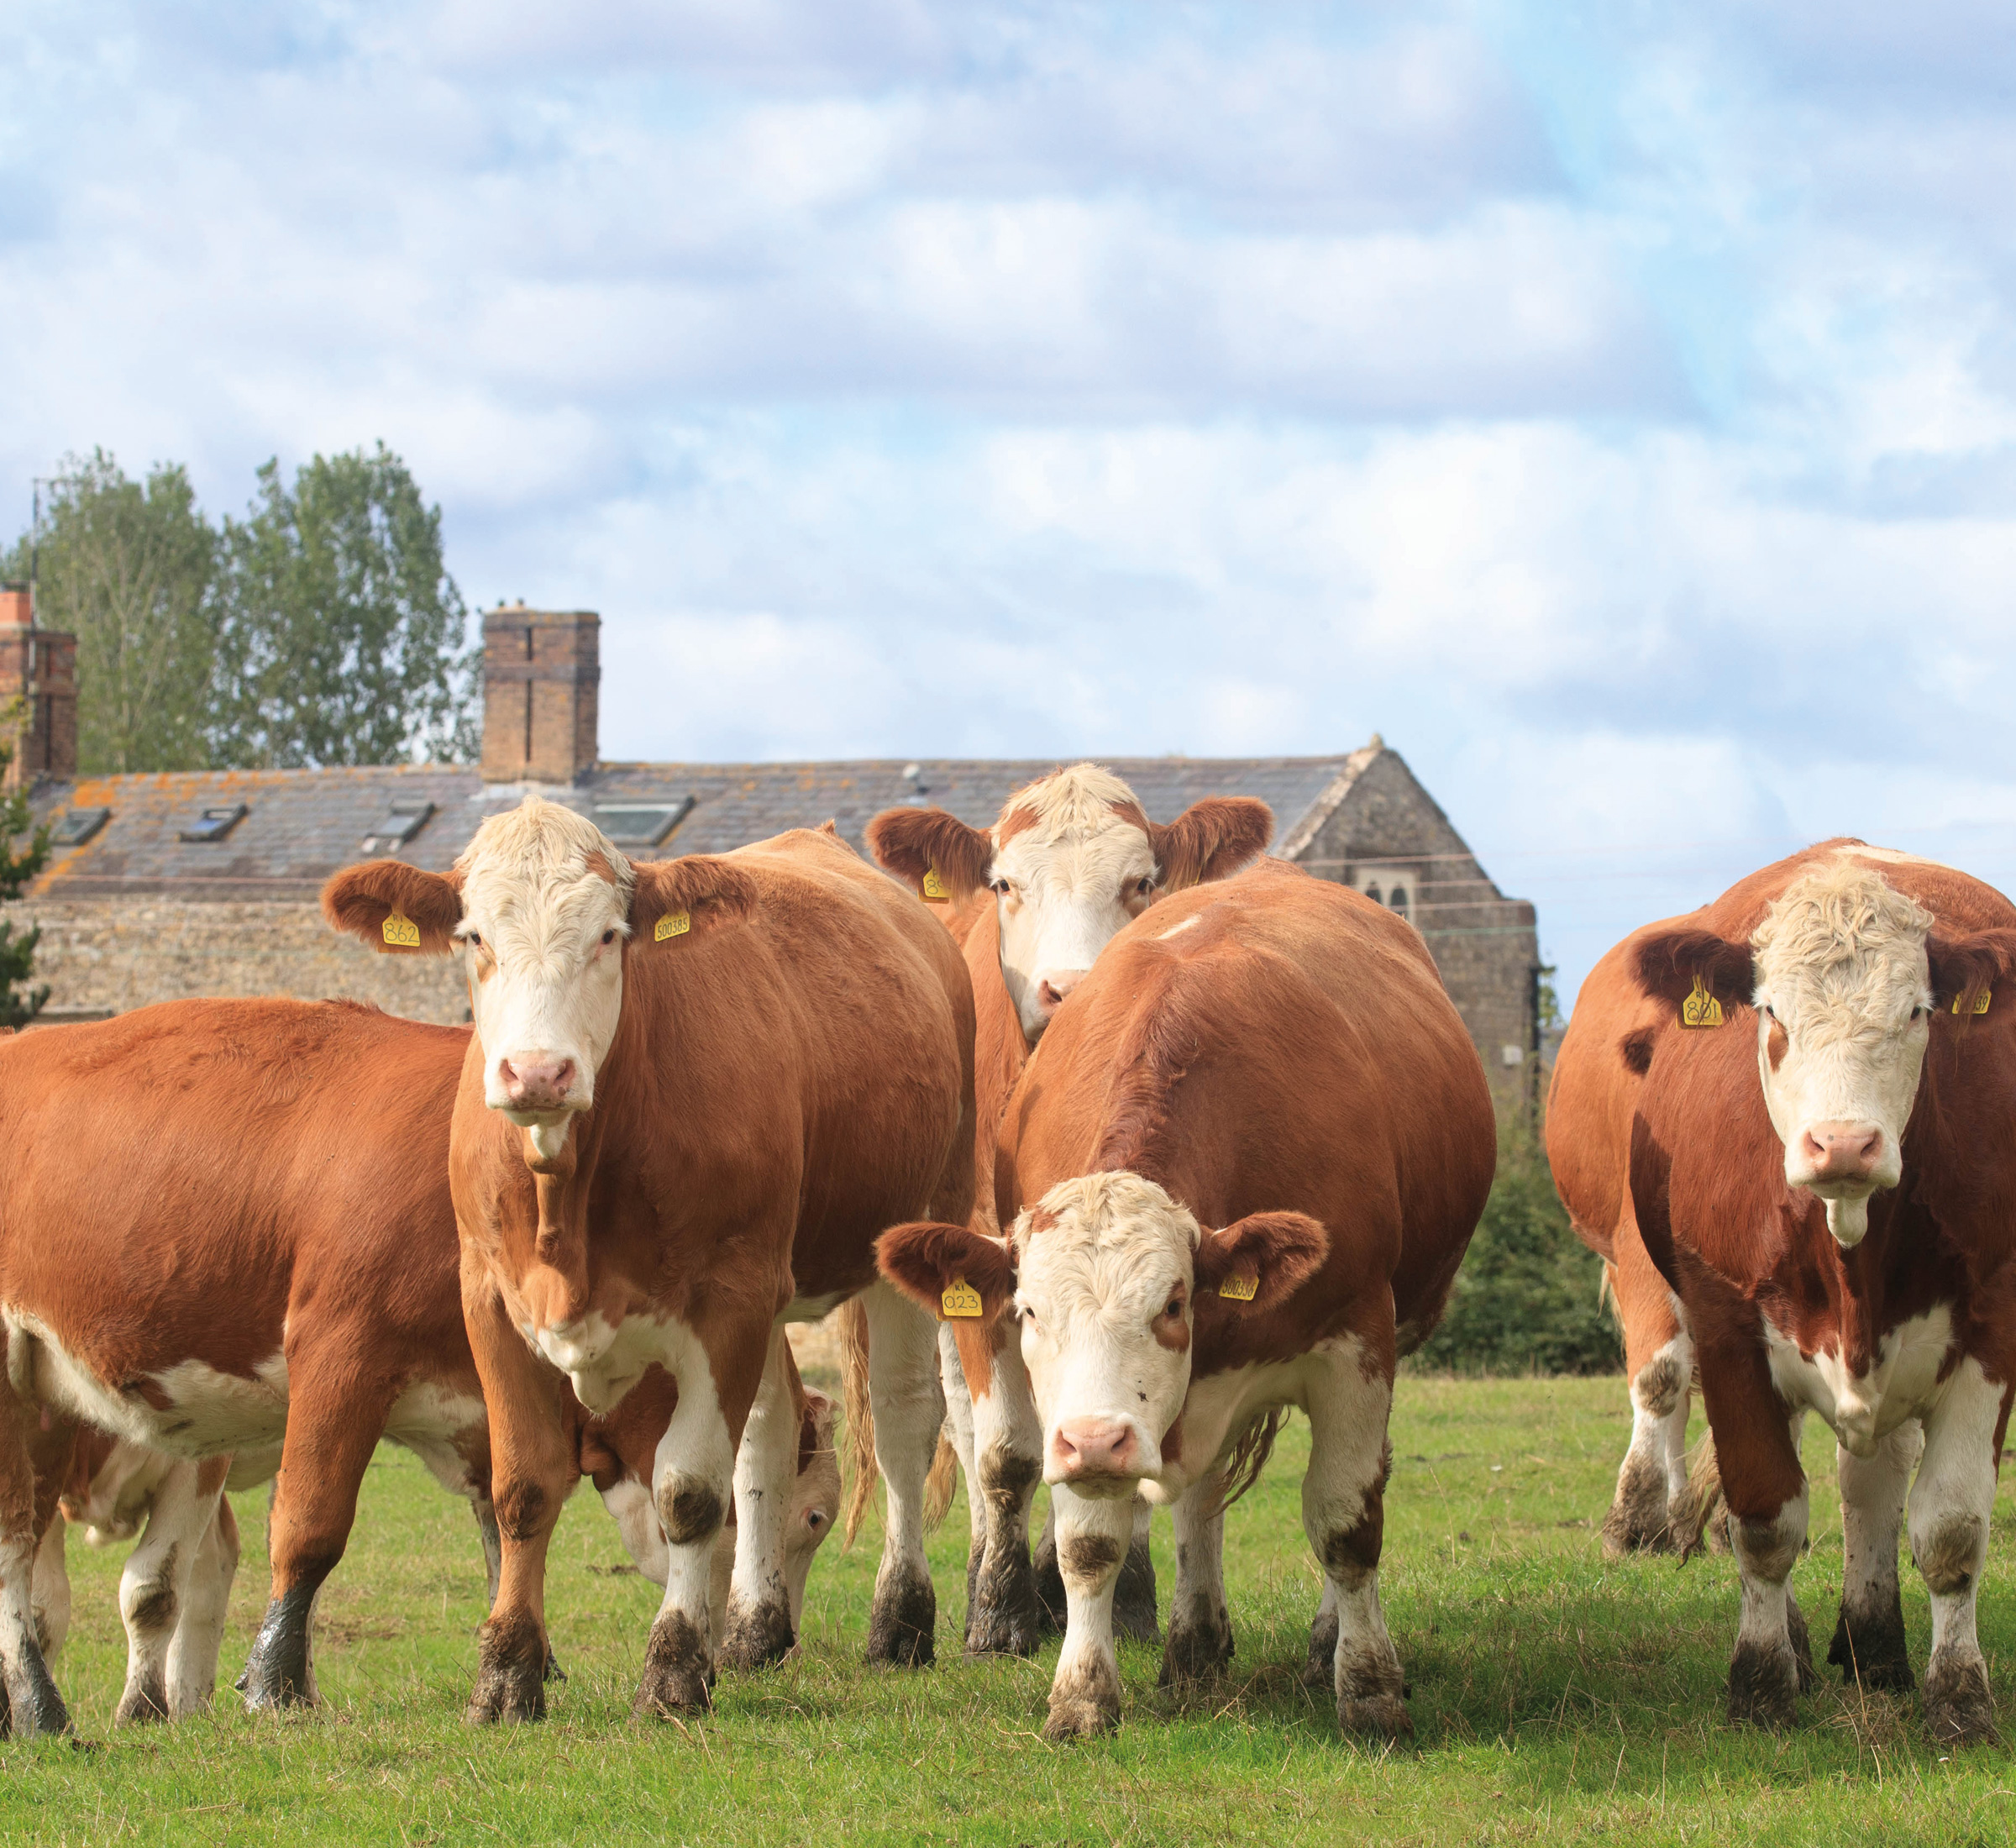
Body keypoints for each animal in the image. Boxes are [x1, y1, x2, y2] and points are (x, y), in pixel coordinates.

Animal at [323, 799, 974, 1721]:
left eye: (609, 935)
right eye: (473, 935)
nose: (537, 1071)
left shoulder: (725, 1300)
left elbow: (691, 1494)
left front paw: (673, 1670)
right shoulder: (490, 1298)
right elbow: (523, 1489)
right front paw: (507, 1674)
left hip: (915, 1228)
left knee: (904, 1422)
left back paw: (901, 1622)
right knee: (769, 1434)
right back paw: (753, 1629)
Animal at [868, 764, 1272, 1654]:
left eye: (1143, 881)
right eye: (1005, 883)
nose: (1072, 991)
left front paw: (1128, 1600)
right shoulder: (982, 1265)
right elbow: (1006, 1453)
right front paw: (1000, 1611)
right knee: (956, 1424)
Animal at [876, 859, 1496, 1738]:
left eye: (1173, 1303)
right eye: (1028, 1312)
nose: (1095, 1441)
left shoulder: (1358, 1343)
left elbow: (1346, 1521)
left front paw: (1371, 1688)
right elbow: (1090, 1543)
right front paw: (1084, 1695)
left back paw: (1321, 1644)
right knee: (1199, 1500)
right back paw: (1195, 1644)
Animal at [1608, 842, 2016, 1741]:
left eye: (1917, 1012)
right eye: (1772, 1015)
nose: (1843, 1143)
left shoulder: (1993, 1332)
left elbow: (1951, 1530)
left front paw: (1959, 1697)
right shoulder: (1728, 1331)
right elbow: (1764, 1519)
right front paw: (1761, 1682)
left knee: (1870, 1487)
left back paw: (1874, 1644)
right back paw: (1800, 1645)